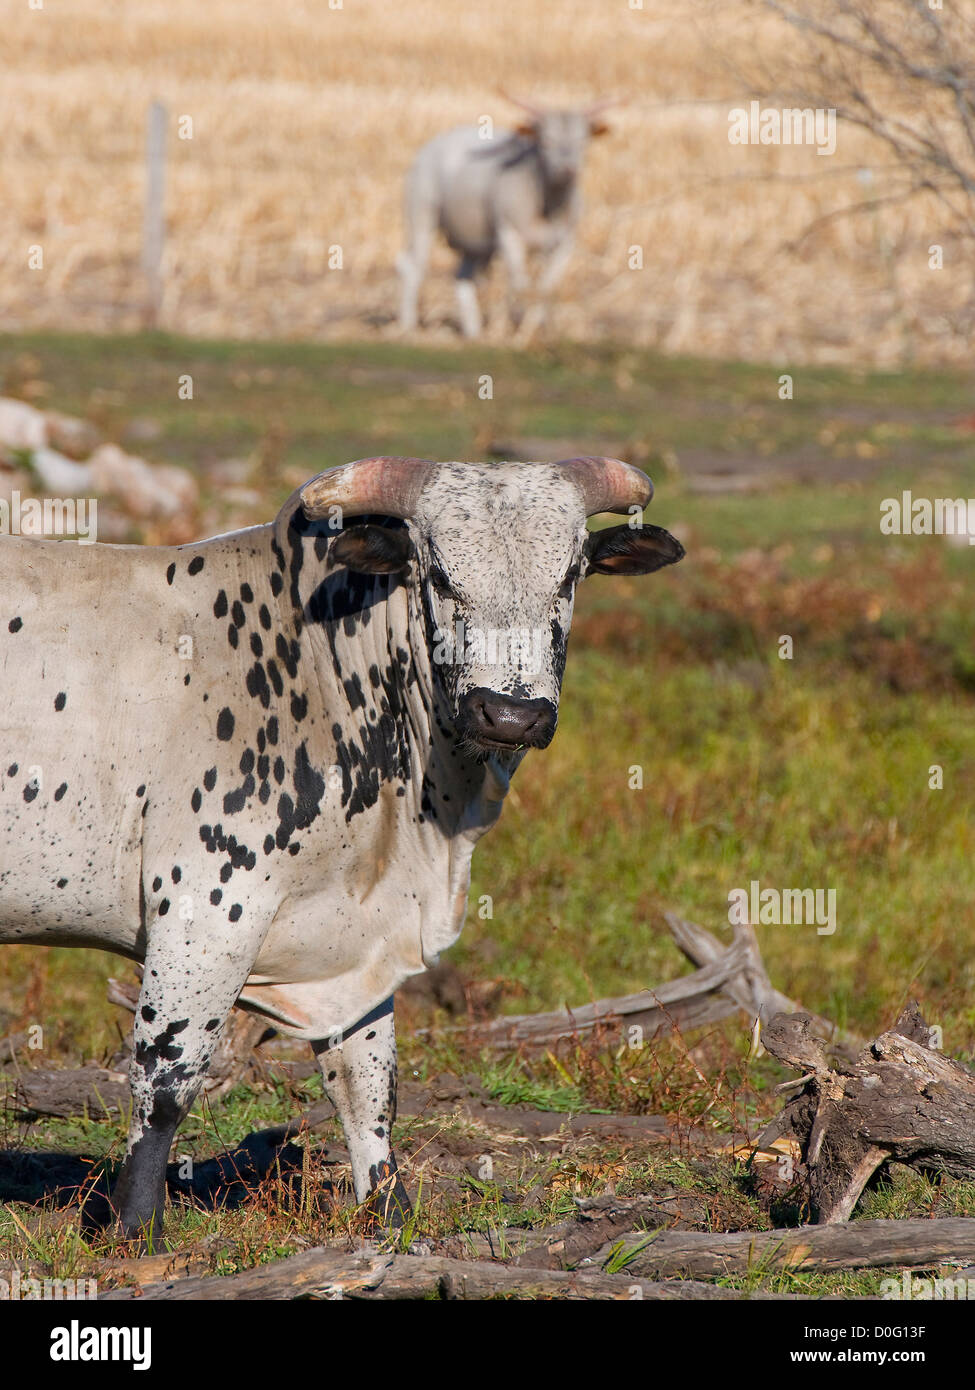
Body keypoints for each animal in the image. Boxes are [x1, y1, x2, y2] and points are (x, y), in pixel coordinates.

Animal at [0, 454, 684, 1247]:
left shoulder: (357, 941)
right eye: (438, 573)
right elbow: (165, 1082)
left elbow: (366, 1084)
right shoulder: (205, 914)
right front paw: (135, 1230)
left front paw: (390, 1213)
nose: (511, 714)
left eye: (571, 574)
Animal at [397, 99, 612, 338]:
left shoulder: (563, 243)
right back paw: (408, 325)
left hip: (476, 243)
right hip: (421, 217)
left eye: (583, 141)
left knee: (463, 276)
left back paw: (473, 330)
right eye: (545, 140)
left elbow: (546, 286)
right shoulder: (509, 233)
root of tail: (427, 149)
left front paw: (537, 325)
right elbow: (520, 282)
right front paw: (517, 326)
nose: (568, 169)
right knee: (412, 266)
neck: (547, 203)